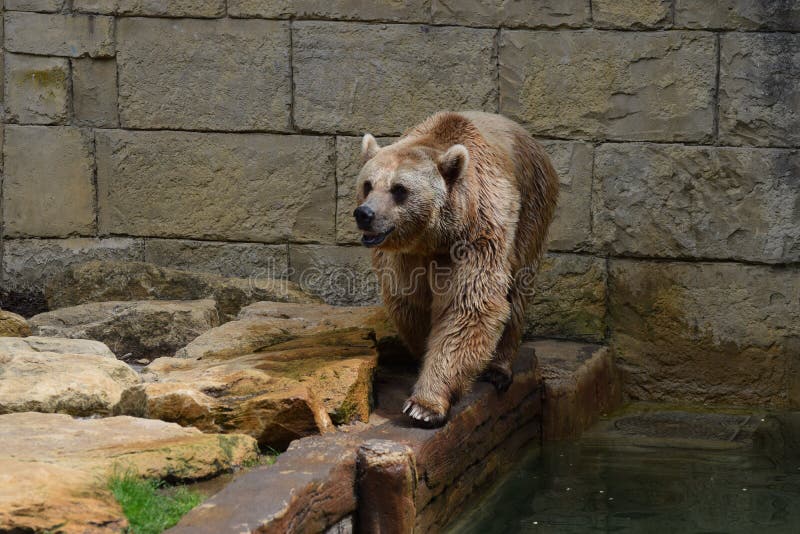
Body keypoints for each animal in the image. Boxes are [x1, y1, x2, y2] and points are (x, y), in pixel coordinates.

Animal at [354, 111, 559, 426]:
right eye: (368, 184)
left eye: (399, 189)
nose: (365, 214)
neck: (433, 238)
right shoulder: (404, 258)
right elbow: (410, 302)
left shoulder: (478, 235)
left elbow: (468, 306)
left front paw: (424, 406)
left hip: (531, 210)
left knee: (517, 291)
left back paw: (498, 369)